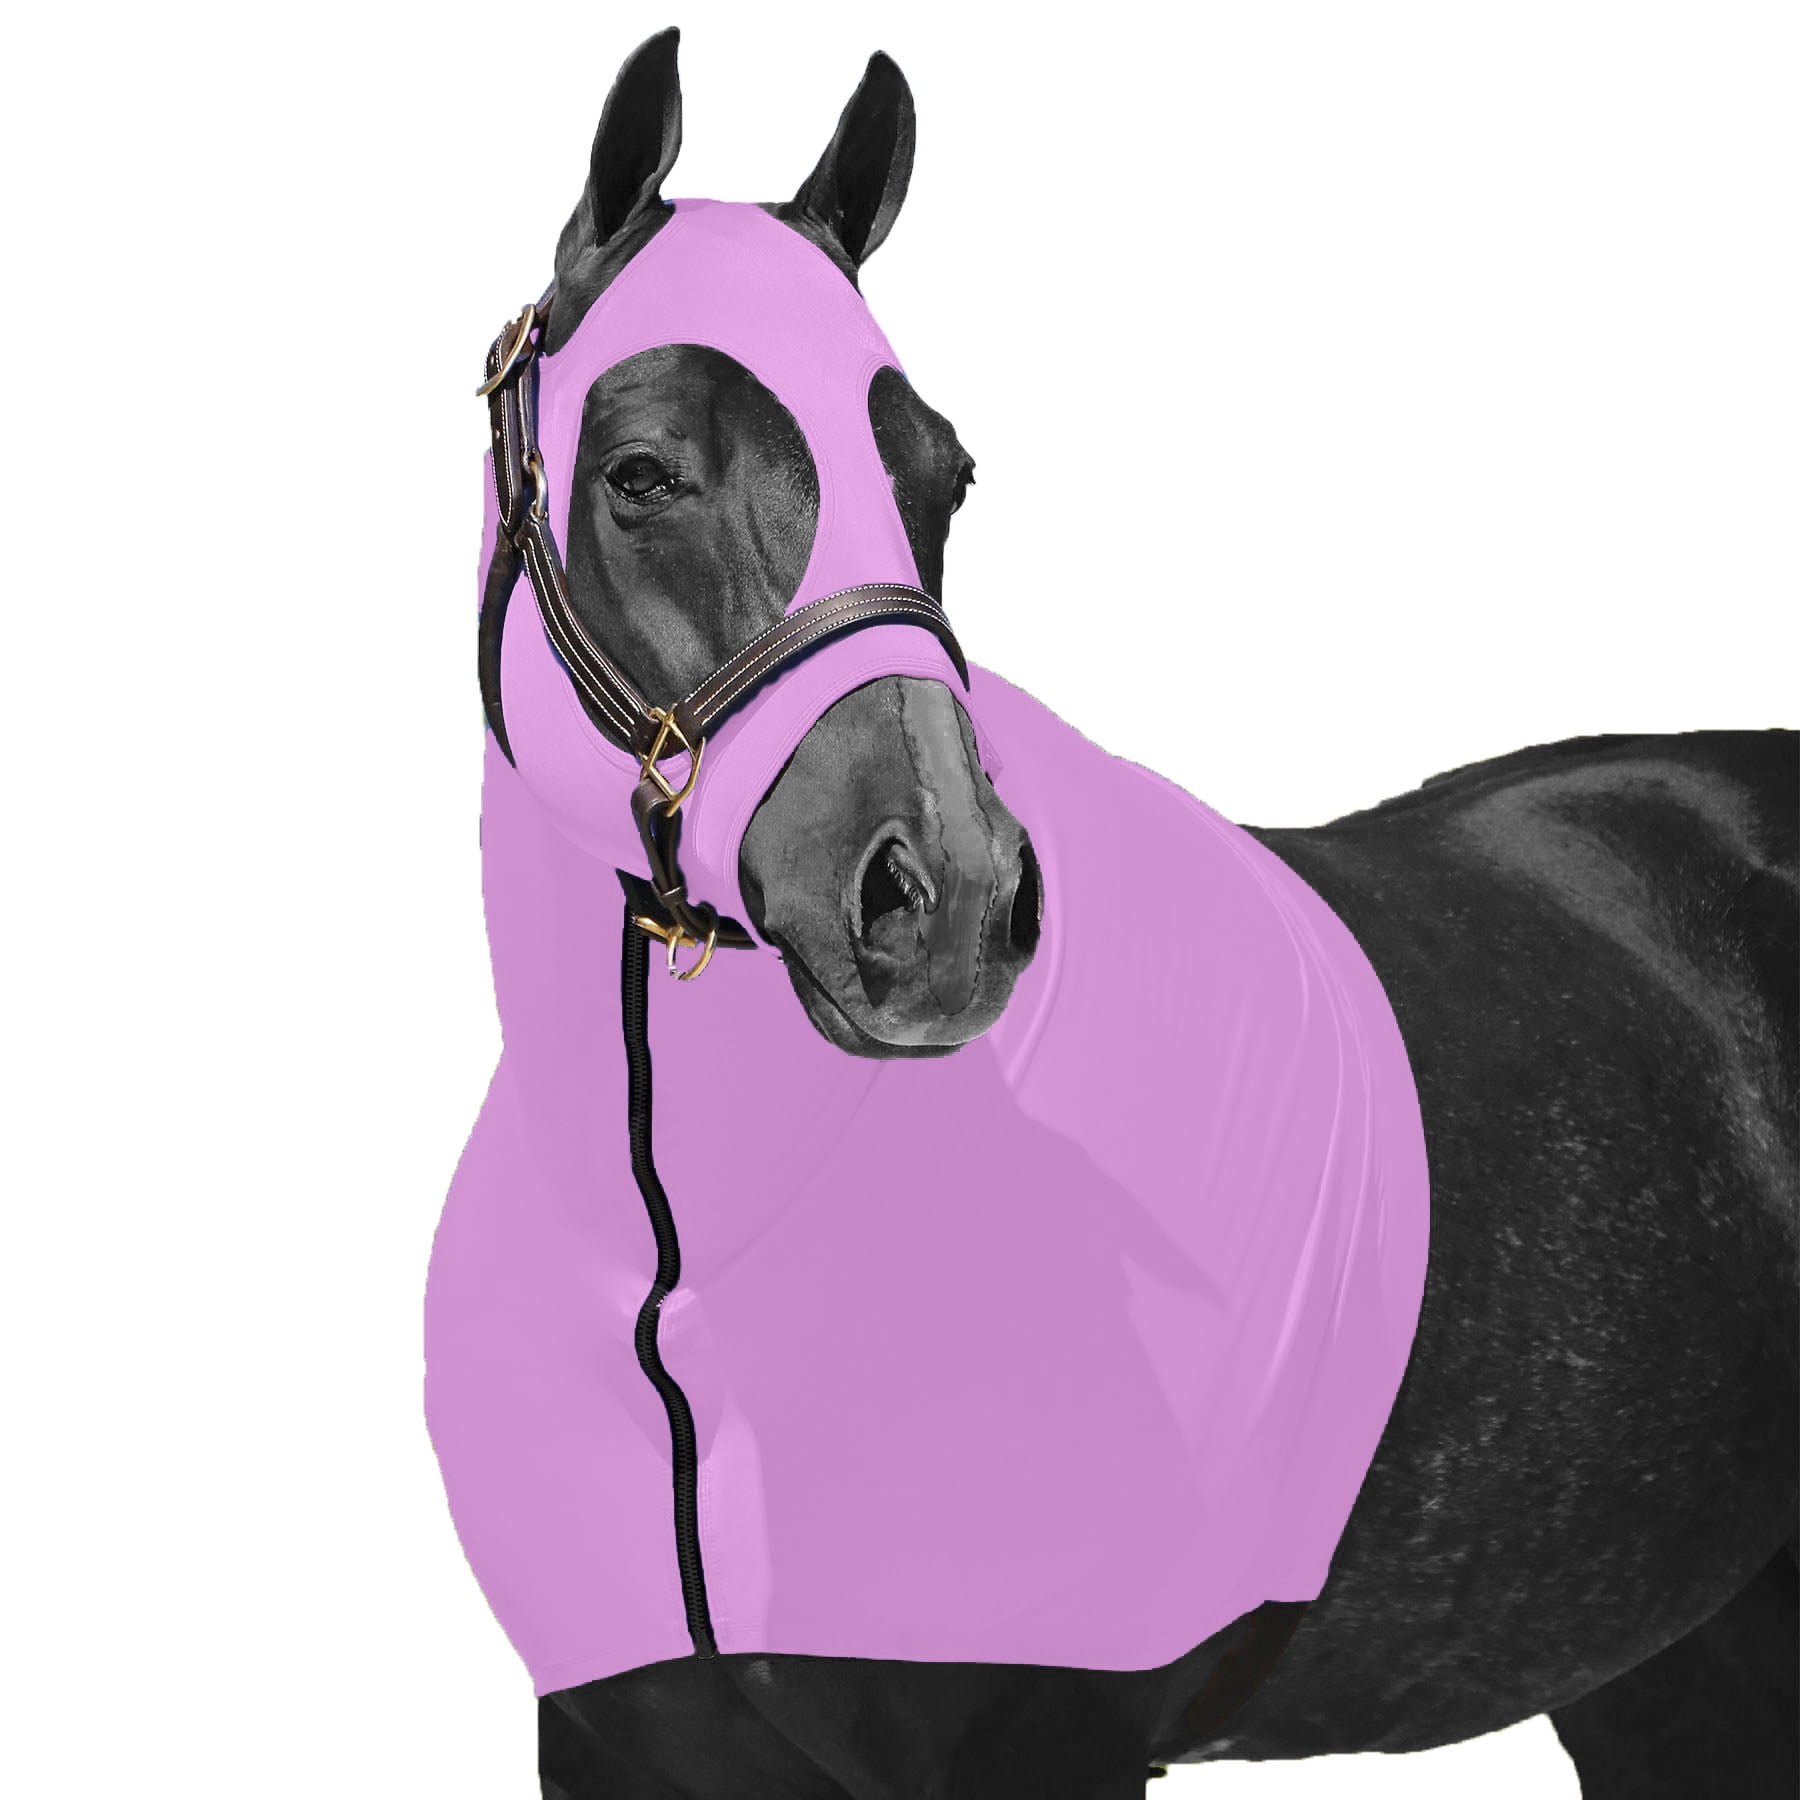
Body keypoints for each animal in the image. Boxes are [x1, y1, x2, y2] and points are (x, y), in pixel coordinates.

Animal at [442, 30, 1797, 1798]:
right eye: (642, 473)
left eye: (942, 474)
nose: (944, 901)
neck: (694, 1283)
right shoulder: (620, 1747)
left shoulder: (1047, 1740)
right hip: (1679, 1663)